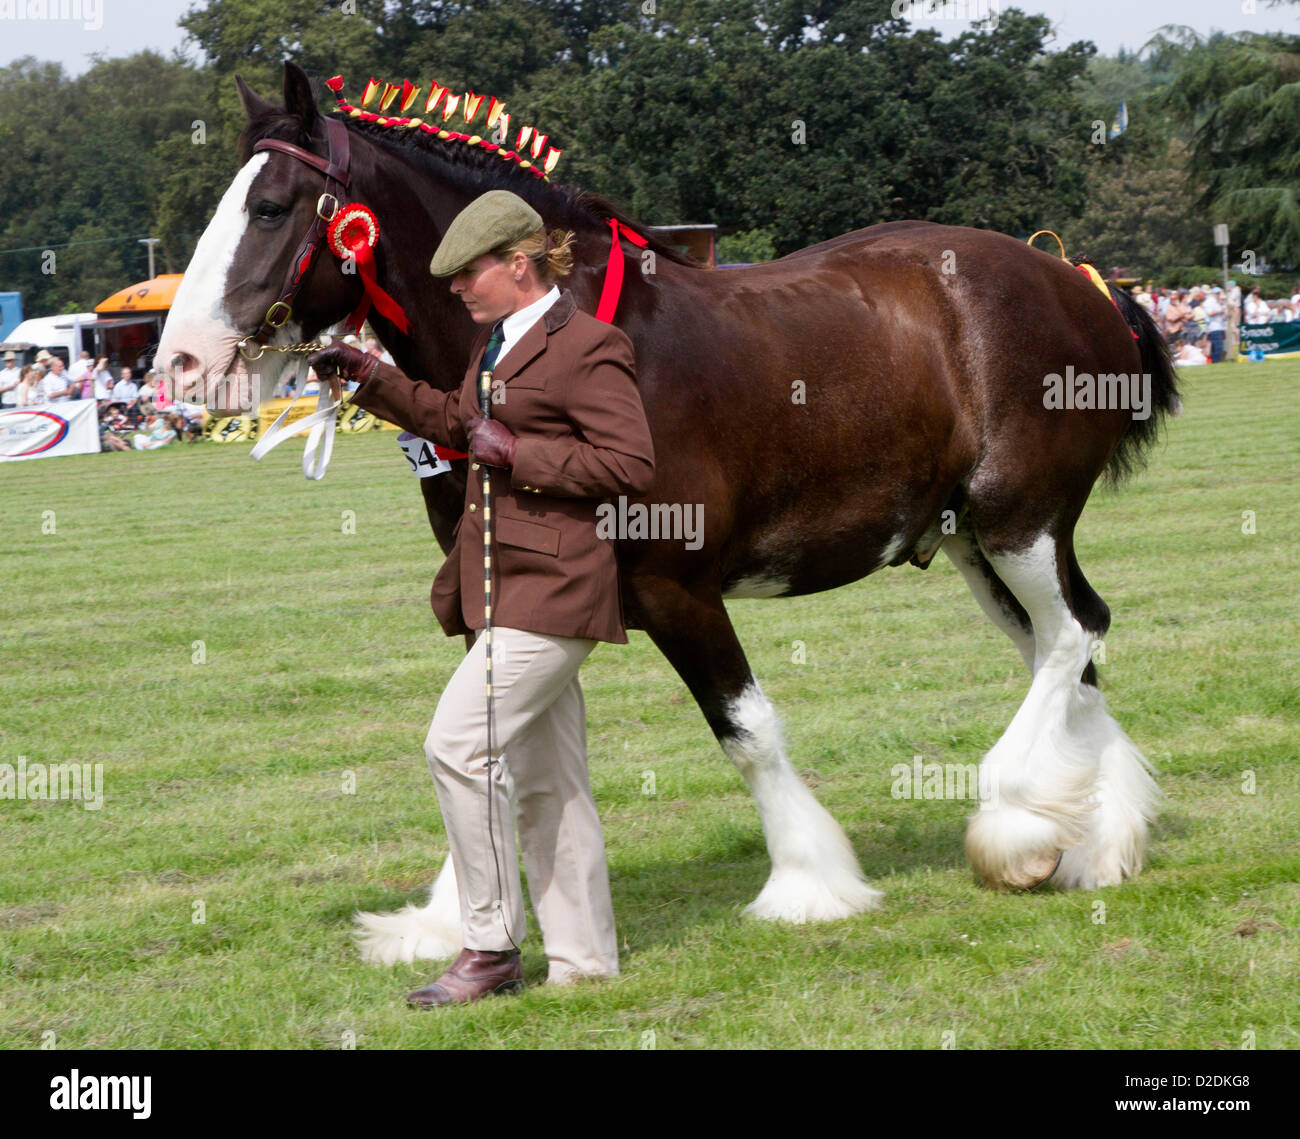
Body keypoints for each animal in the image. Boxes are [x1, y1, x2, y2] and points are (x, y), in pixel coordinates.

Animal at [157, 63, 1178, 965]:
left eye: (270, 207)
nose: (181, 363)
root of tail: (1084, 284)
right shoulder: (504, 597)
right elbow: (482, 746)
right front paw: (447, 920)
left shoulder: (678, 587)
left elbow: (747, 731)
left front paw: (808, 883)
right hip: (977, 540)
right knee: (1073, 646)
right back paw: (1097, 839)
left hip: (1019, 520)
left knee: (1069, 635)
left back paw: (1018, 824)